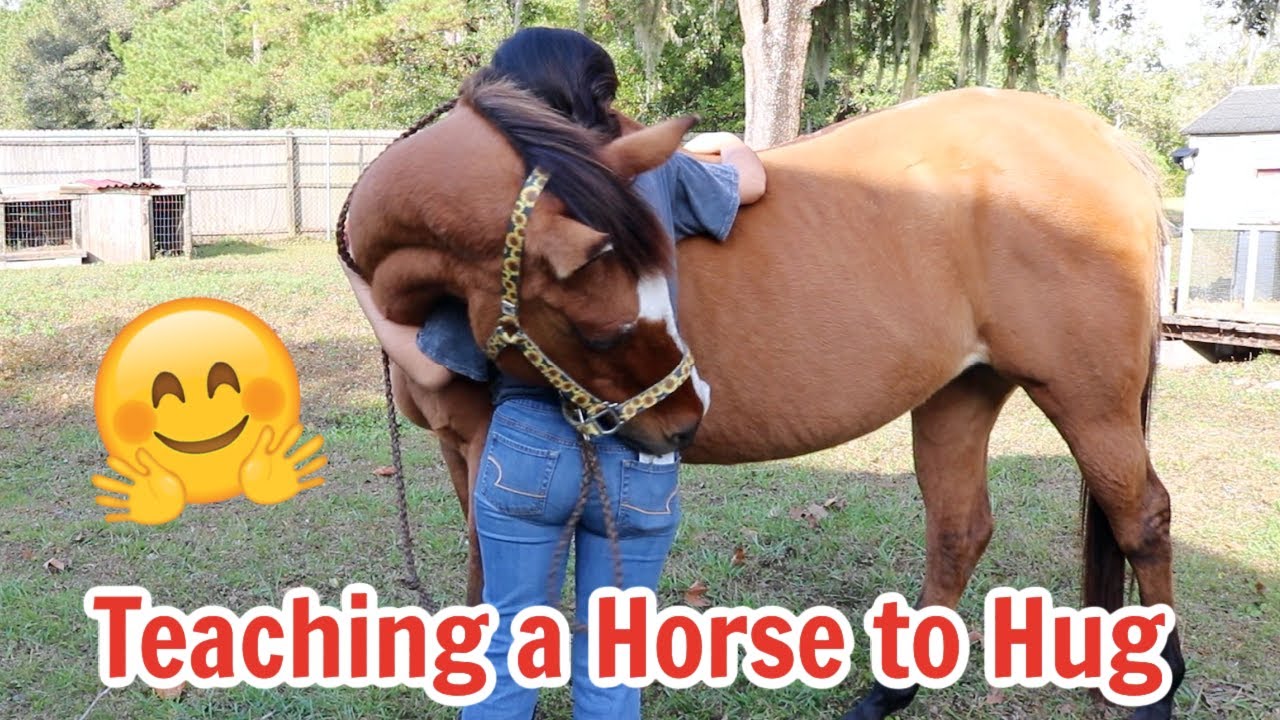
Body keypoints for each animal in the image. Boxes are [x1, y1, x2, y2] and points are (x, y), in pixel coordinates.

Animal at [340, 71, 1185, 719]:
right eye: (603, 331)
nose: (686, 423)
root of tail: (1102, 142)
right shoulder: (462, 452)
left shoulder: (488, 442)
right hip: (961, 391)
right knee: (959, 530)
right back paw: (888, 693)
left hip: (1086, 398)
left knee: (1142, 517)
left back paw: (1159, 688)